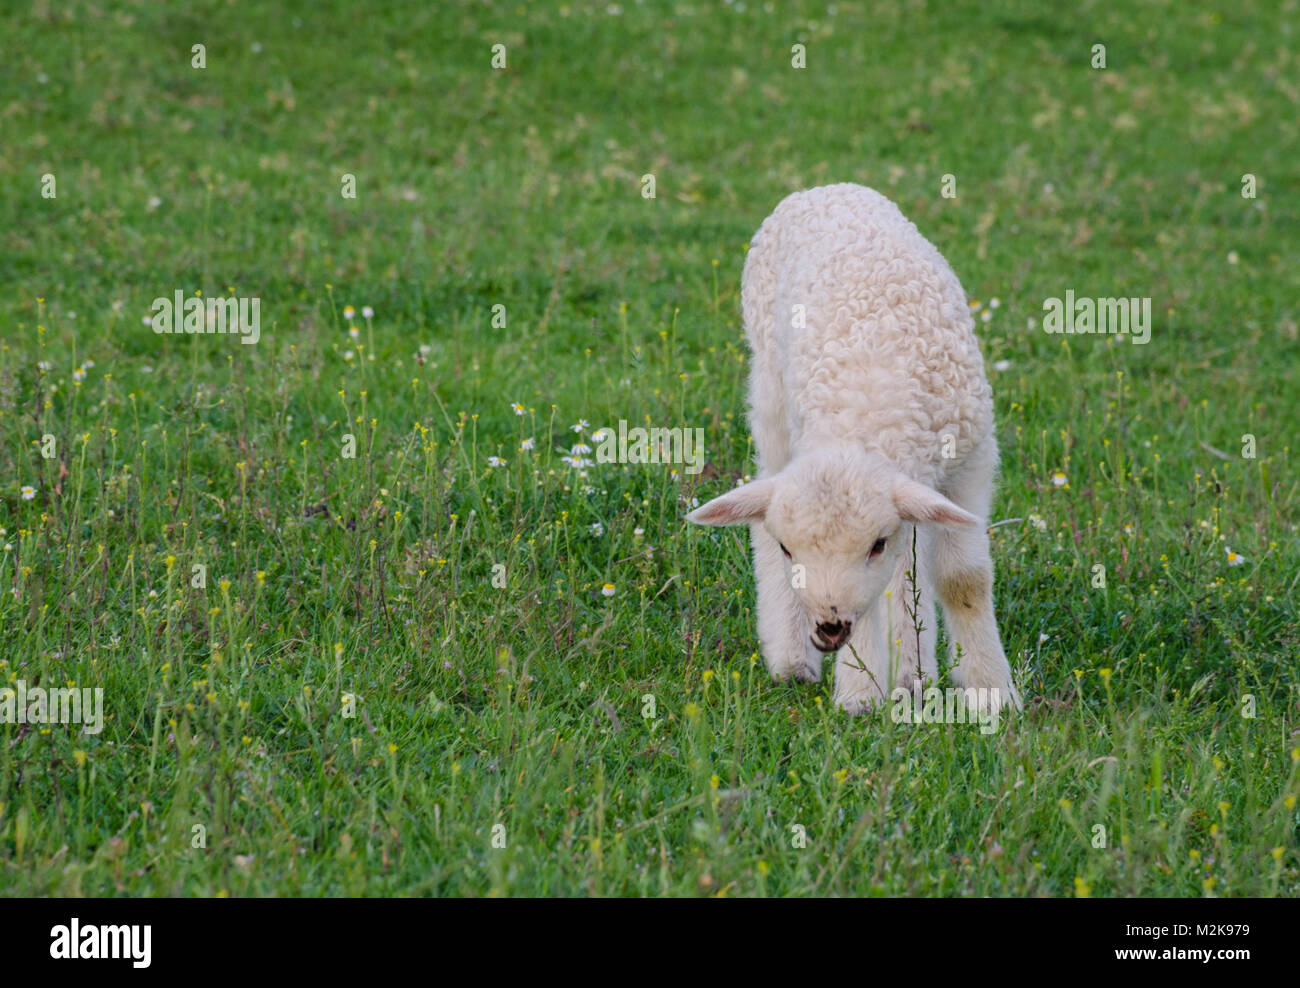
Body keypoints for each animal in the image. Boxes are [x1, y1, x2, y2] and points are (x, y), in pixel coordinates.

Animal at [687, 183, 1020, 716]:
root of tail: (824, 189)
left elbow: (962, 579)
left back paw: (911, 674)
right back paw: (791, 659)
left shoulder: (970, 462)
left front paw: (990, 691)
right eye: (788, 548)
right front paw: (861, 695)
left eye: (875, 544)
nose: (827, 630)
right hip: (770, 388)